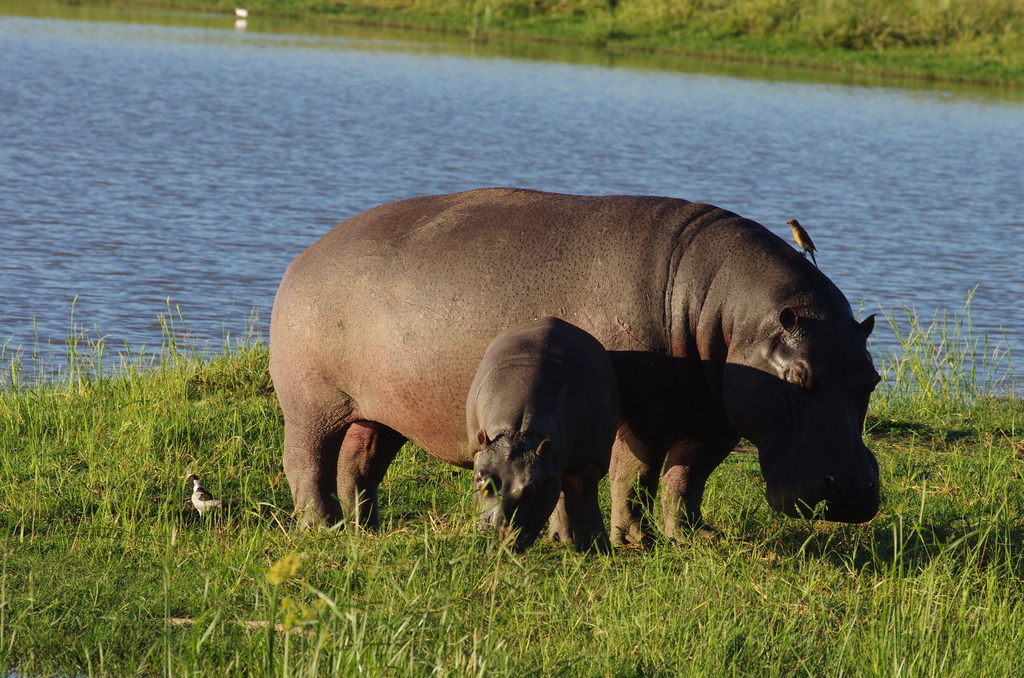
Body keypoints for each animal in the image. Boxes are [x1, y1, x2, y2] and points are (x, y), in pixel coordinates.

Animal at [468, 317, 620, 553]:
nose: (495, 538)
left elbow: (584, 503)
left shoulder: (587, 461)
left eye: (530, 491)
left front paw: (596, 550)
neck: (517, 434)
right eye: (479, 479)